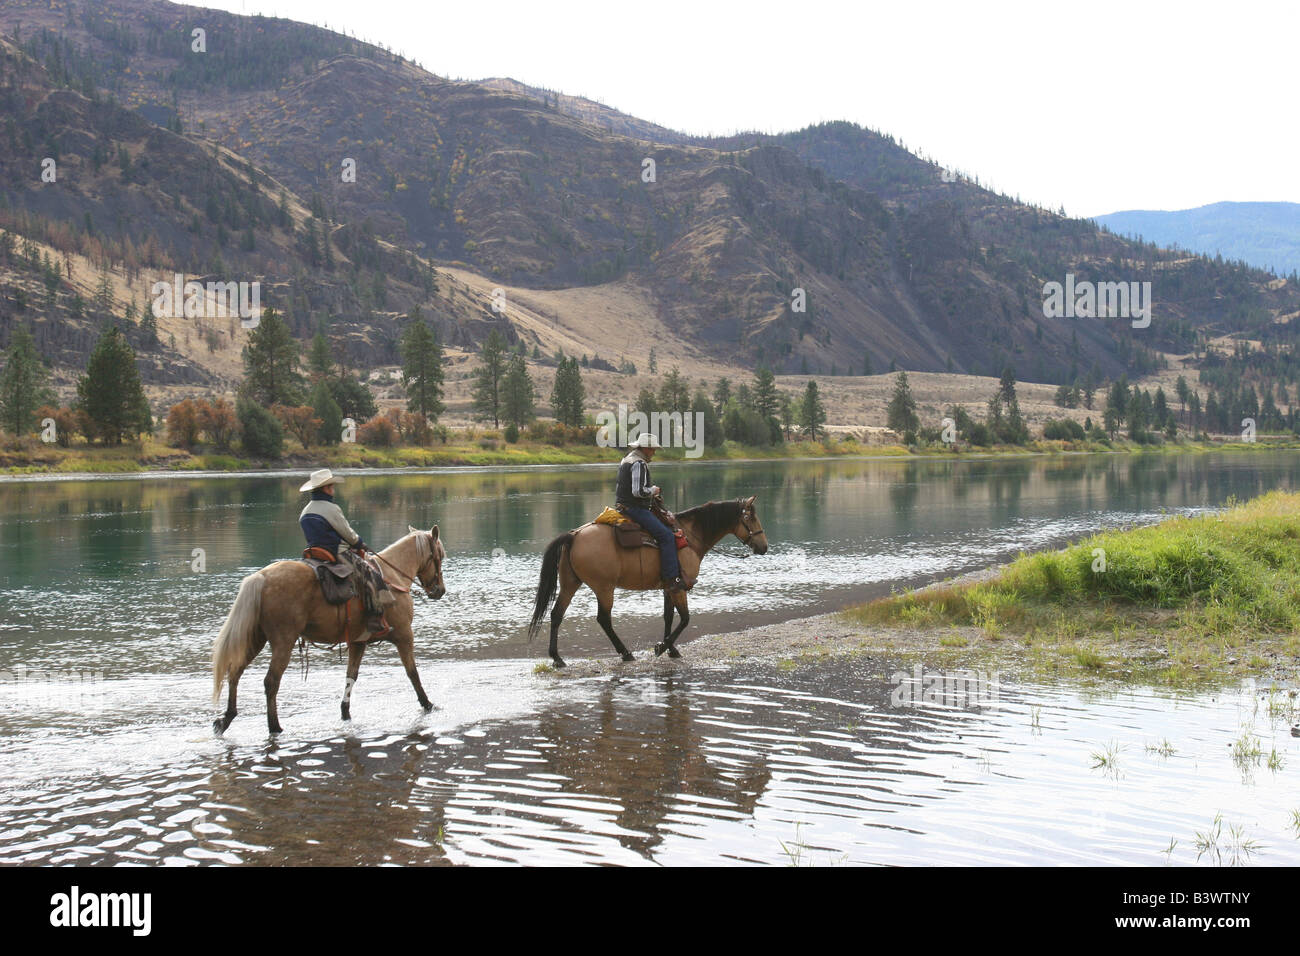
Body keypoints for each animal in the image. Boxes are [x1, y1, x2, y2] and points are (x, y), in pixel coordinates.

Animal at [211, 525, 446, 735]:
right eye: (440, 556)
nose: (440, 590)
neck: (393, 576)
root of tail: (262, 577)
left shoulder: (358, 642)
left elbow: (351, 676)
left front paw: (345, 712)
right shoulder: (404, 635)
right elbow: (412, 672)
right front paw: (427, 704)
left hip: (256, 638)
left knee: (235, 671)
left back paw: (227, 718)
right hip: (283, 642)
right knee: (271, 681)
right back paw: (274, 726)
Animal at [528, 496, 767, 668]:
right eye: (751, 518)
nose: (763, 547)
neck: (690, 536)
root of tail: (574, 535)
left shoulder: (669, 586)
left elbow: (669, 616)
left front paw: (671, 649)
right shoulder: (680, 588)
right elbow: (685, 619)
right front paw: (661, 647)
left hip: (570, 583)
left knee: (556, 614)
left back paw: (557, 658)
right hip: (604, 588)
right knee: (603, 619)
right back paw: (625, 653)